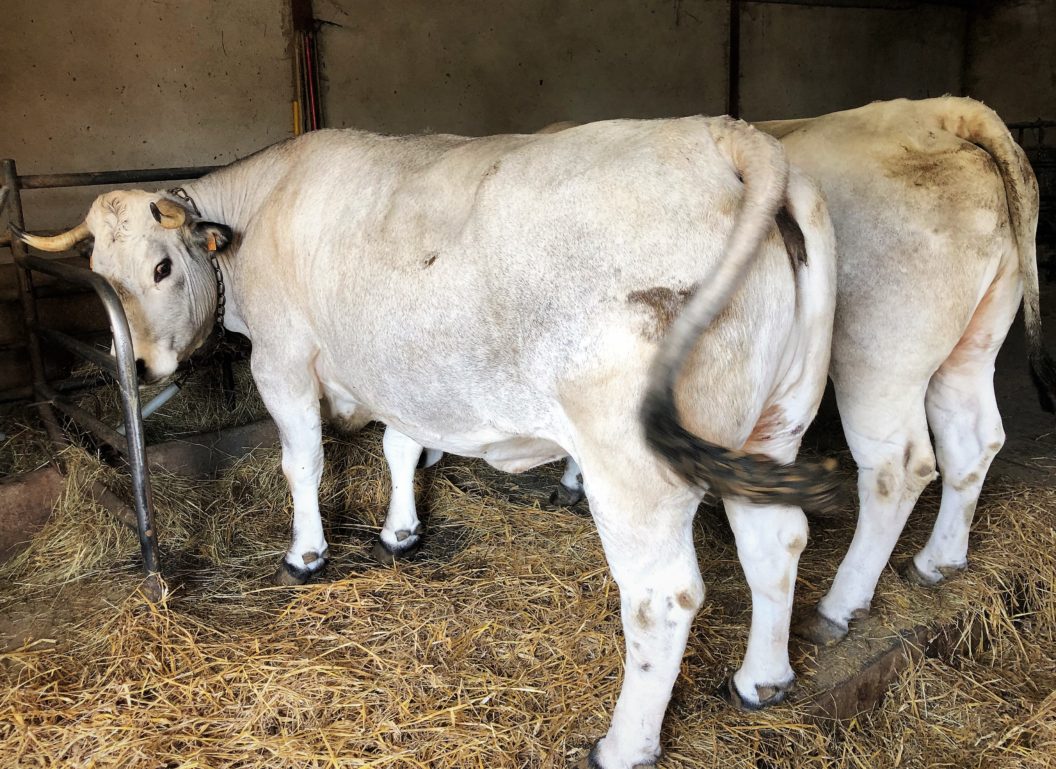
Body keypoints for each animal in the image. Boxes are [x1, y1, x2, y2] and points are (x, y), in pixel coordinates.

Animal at [16, 115, 836, 769]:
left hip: (634, 469)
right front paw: (401, 531)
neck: (267, 203)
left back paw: (623, 745)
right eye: (98, 271)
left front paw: (306, 553)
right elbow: (402, 449)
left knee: (662, 598)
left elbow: (302, 460)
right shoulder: (399, 369)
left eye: (161, 266)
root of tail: (720, 134)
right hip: (774, 429)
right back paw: (762, 680)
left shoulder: (280, 359)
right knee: (778, 542)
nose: (135, 366)